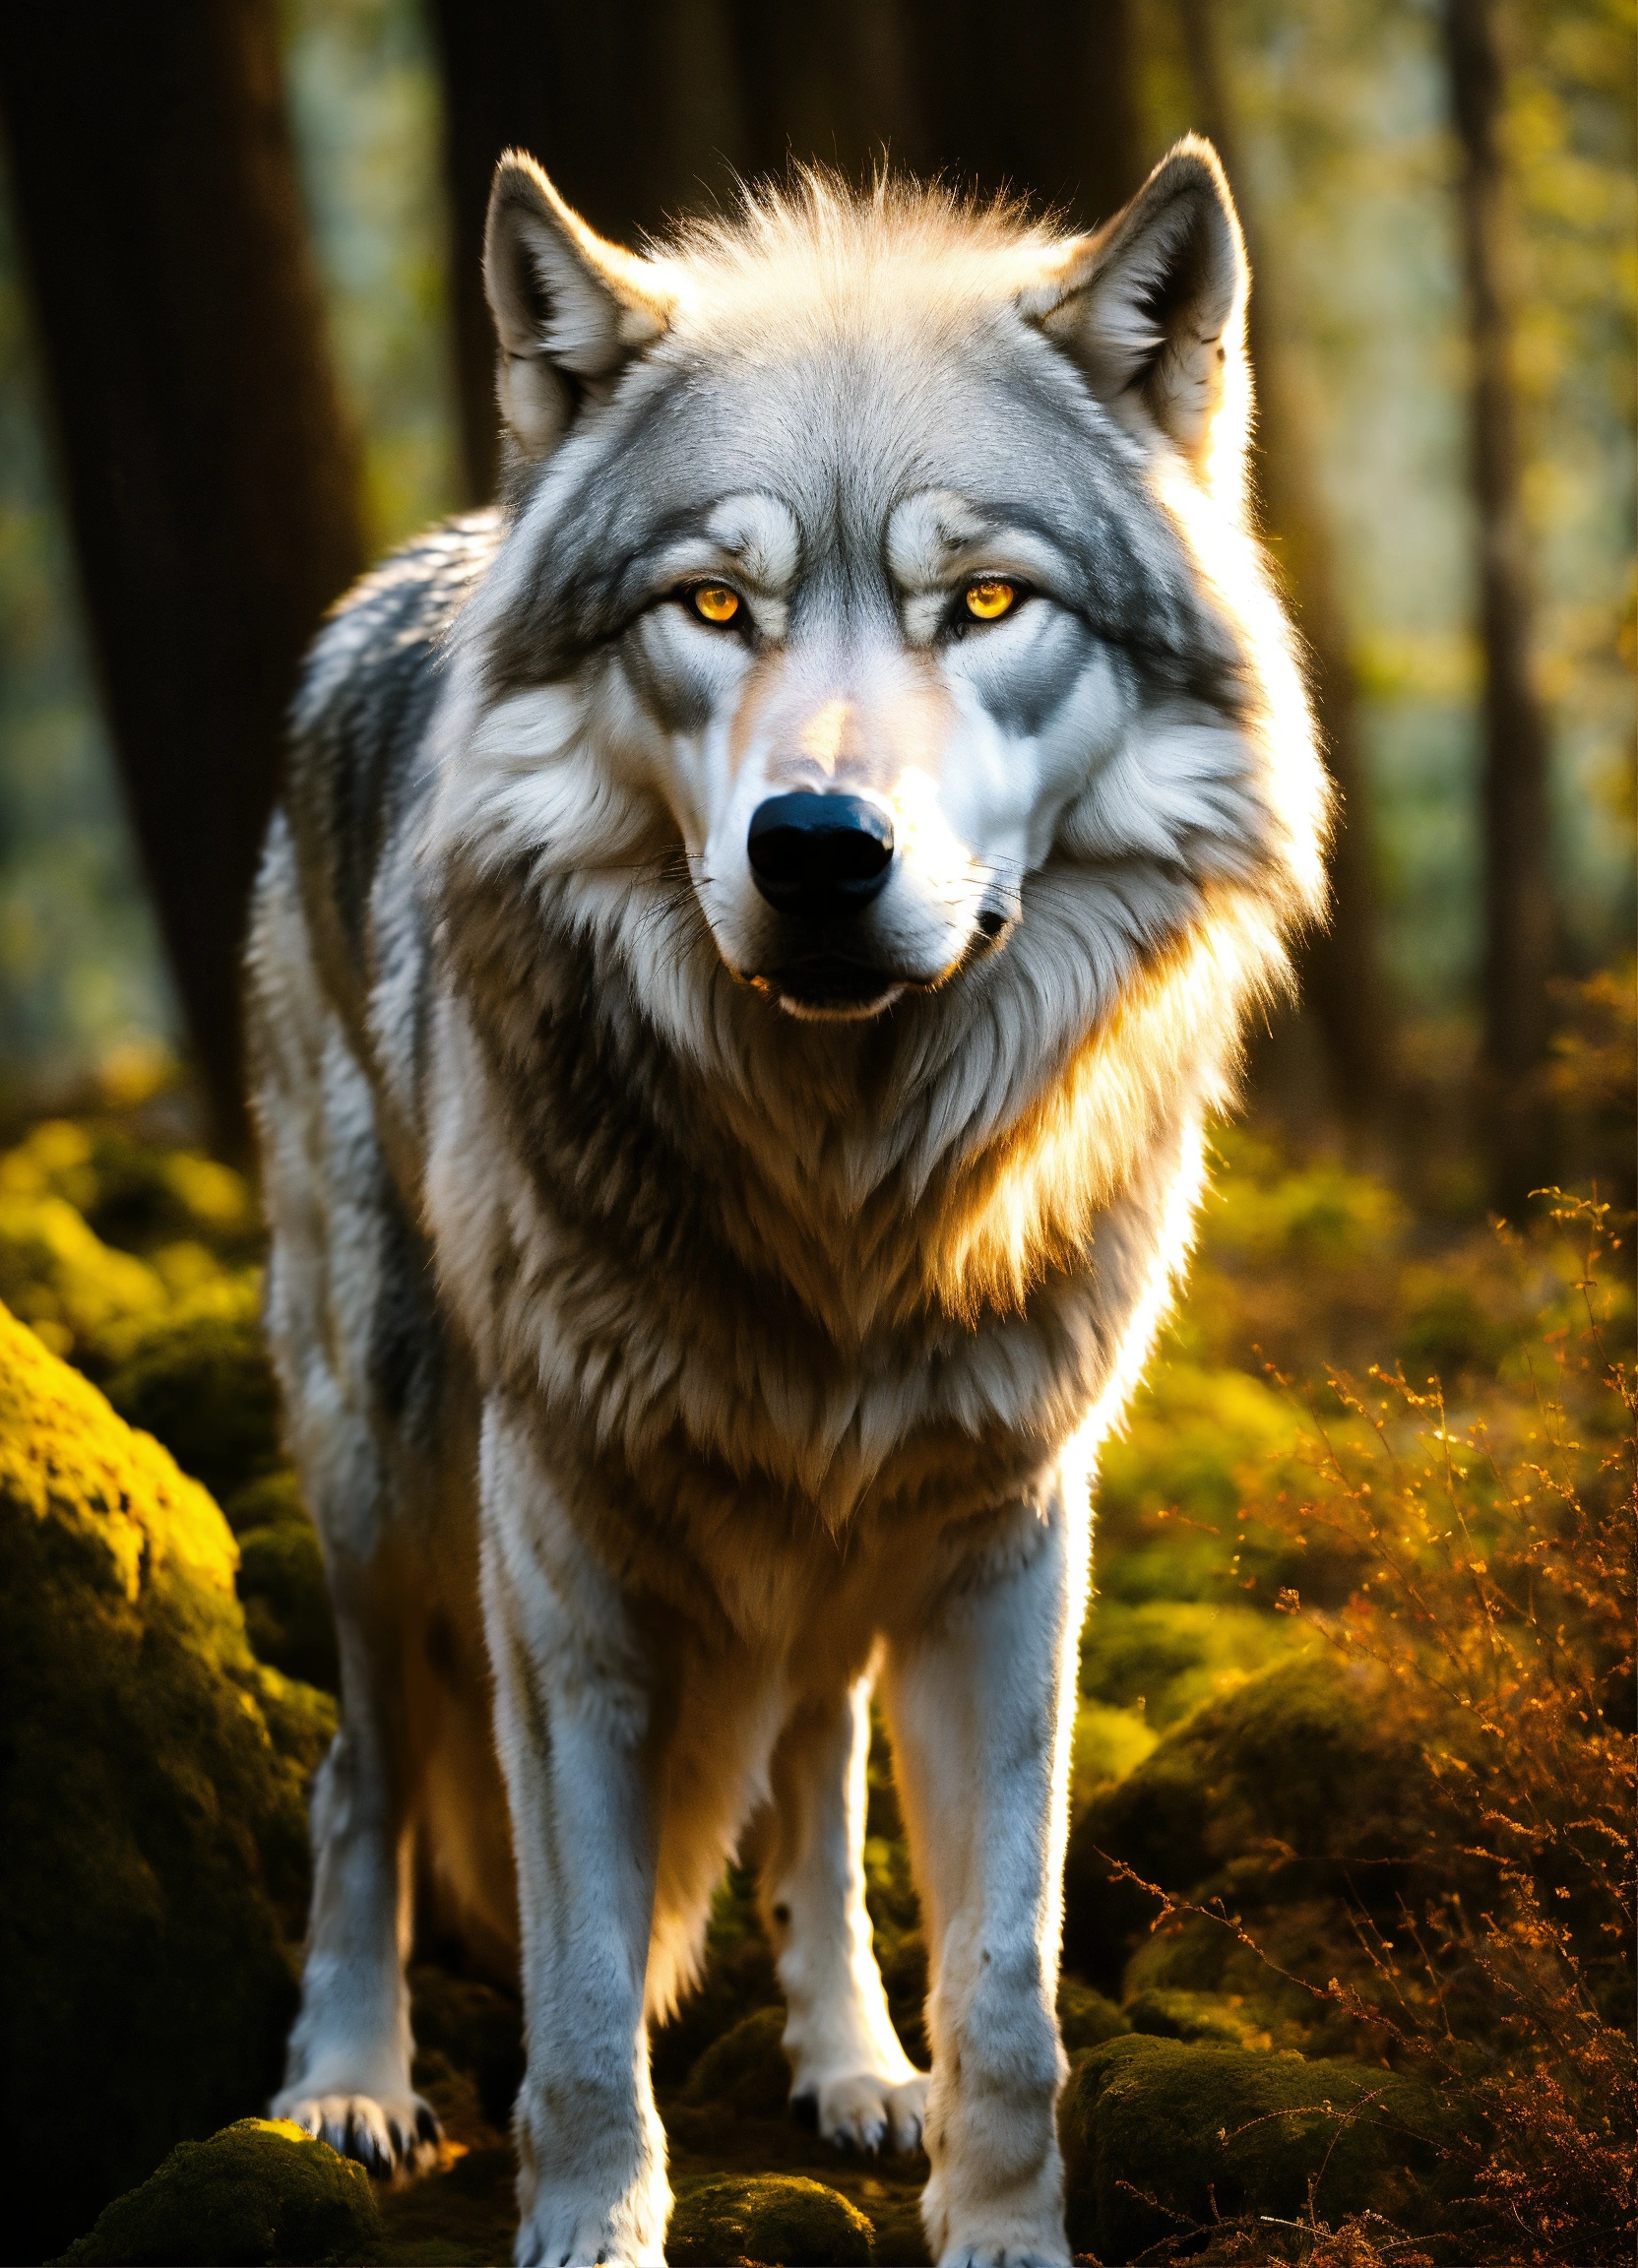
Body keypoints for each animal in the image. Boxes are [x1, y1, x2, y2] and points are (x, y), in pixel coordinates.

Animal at [247, 135, 1327, 2268]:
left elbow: (1008, 1987)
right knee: (358, 1770)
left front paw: (995, 2220)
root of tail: (417, 566)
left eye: (983, 598)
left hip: (829, 1536)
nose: (818, 846)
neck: (843, 1194)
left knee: (816, 1773)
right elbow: (586, 1998)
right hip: (388, 1460)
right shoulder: (553, 1555)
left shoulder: (1011, 1542)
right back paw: (343, 2081)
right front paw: (589, 2221)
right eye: (713, 602)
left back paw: (847, 2057)